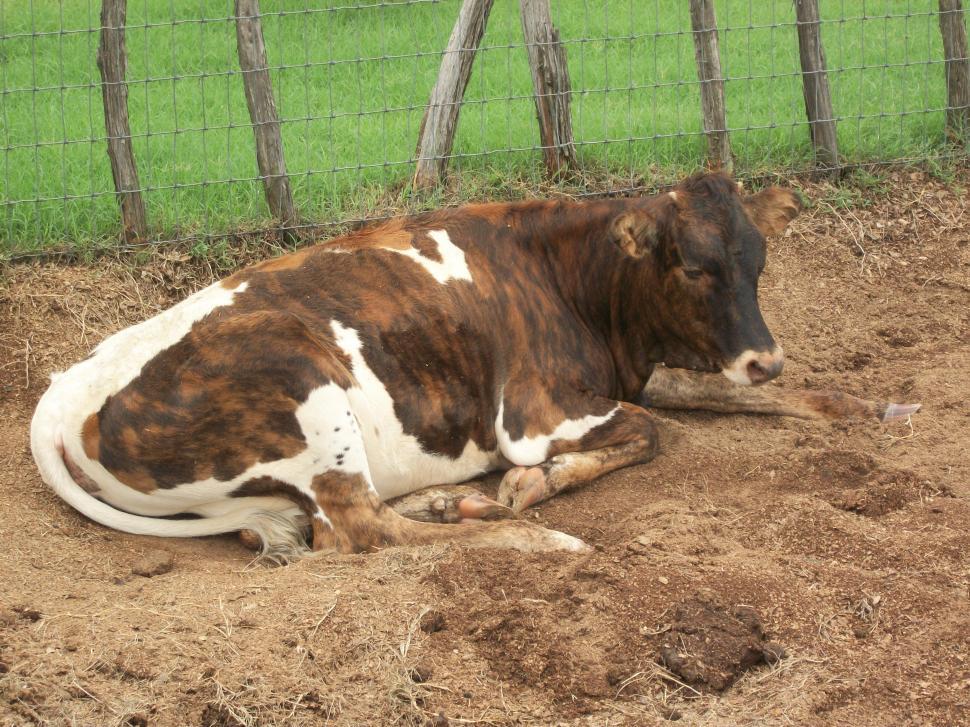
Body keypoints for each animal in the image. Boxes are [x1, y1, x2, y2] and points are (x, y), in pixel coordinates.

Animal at [30, 172, 919, 559]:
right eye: (696, 268)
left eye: (758, 259)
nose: (765, 356)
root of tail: (63, 388)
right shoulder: (536, 413)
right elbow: (651, 432)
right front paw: (538, 484)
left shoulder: (632, 371)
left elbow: (728, 396)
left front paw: (874, 408)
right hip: (298, 376)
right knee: (357, 525)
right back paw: (533, 535)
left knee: (333, 517)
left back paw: (451, 505)